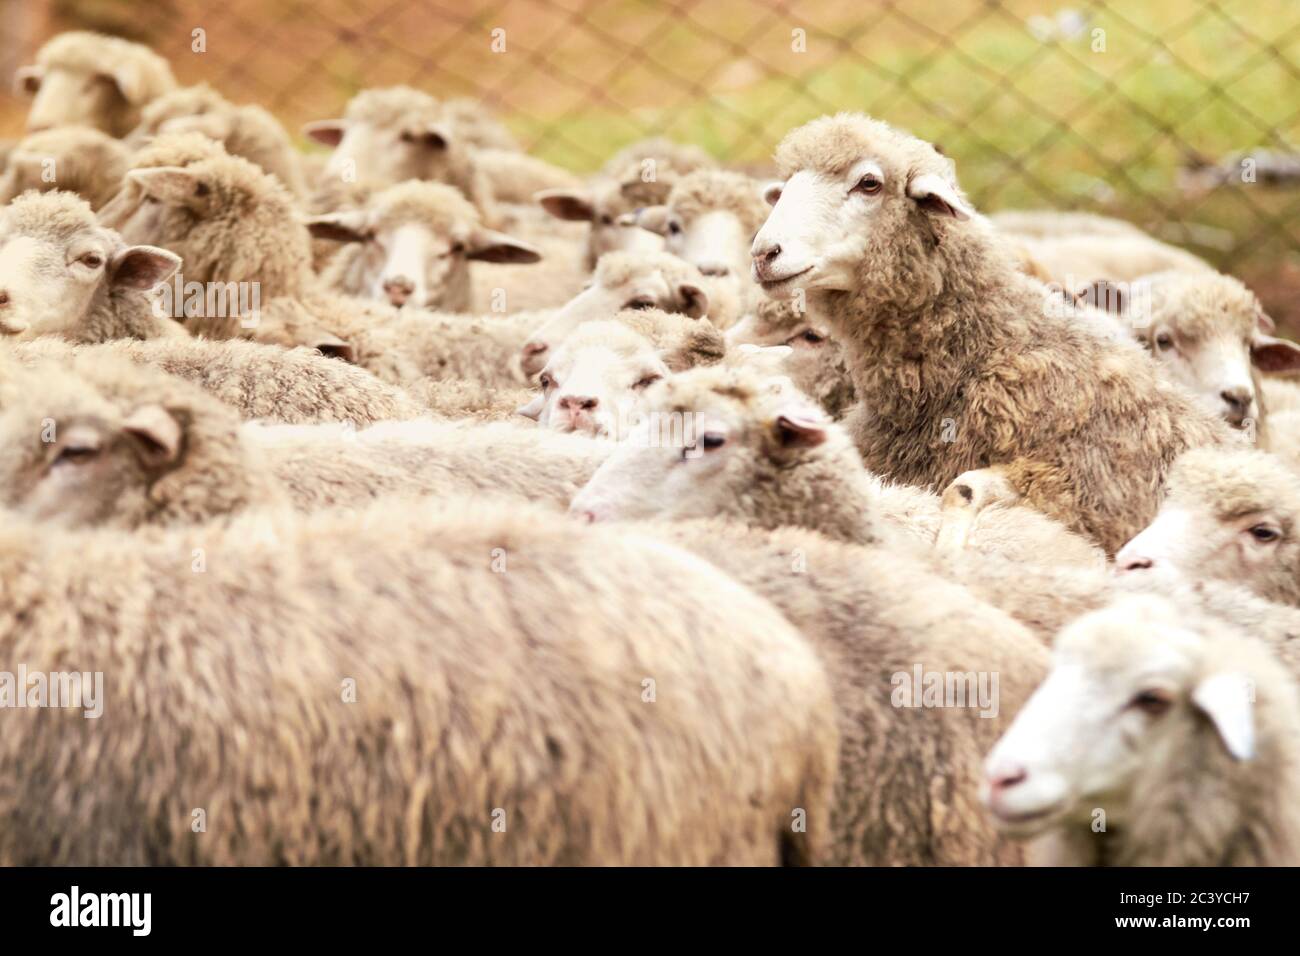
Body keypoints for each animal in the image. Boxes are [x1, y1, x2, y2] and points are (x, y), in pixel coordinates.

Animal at [751, 112, 1229, 554]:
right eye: (787, 184)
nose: (763, 253)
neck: (983, 348)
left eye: (869, 183)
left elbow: (966, 488)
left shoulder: (1074, 488)